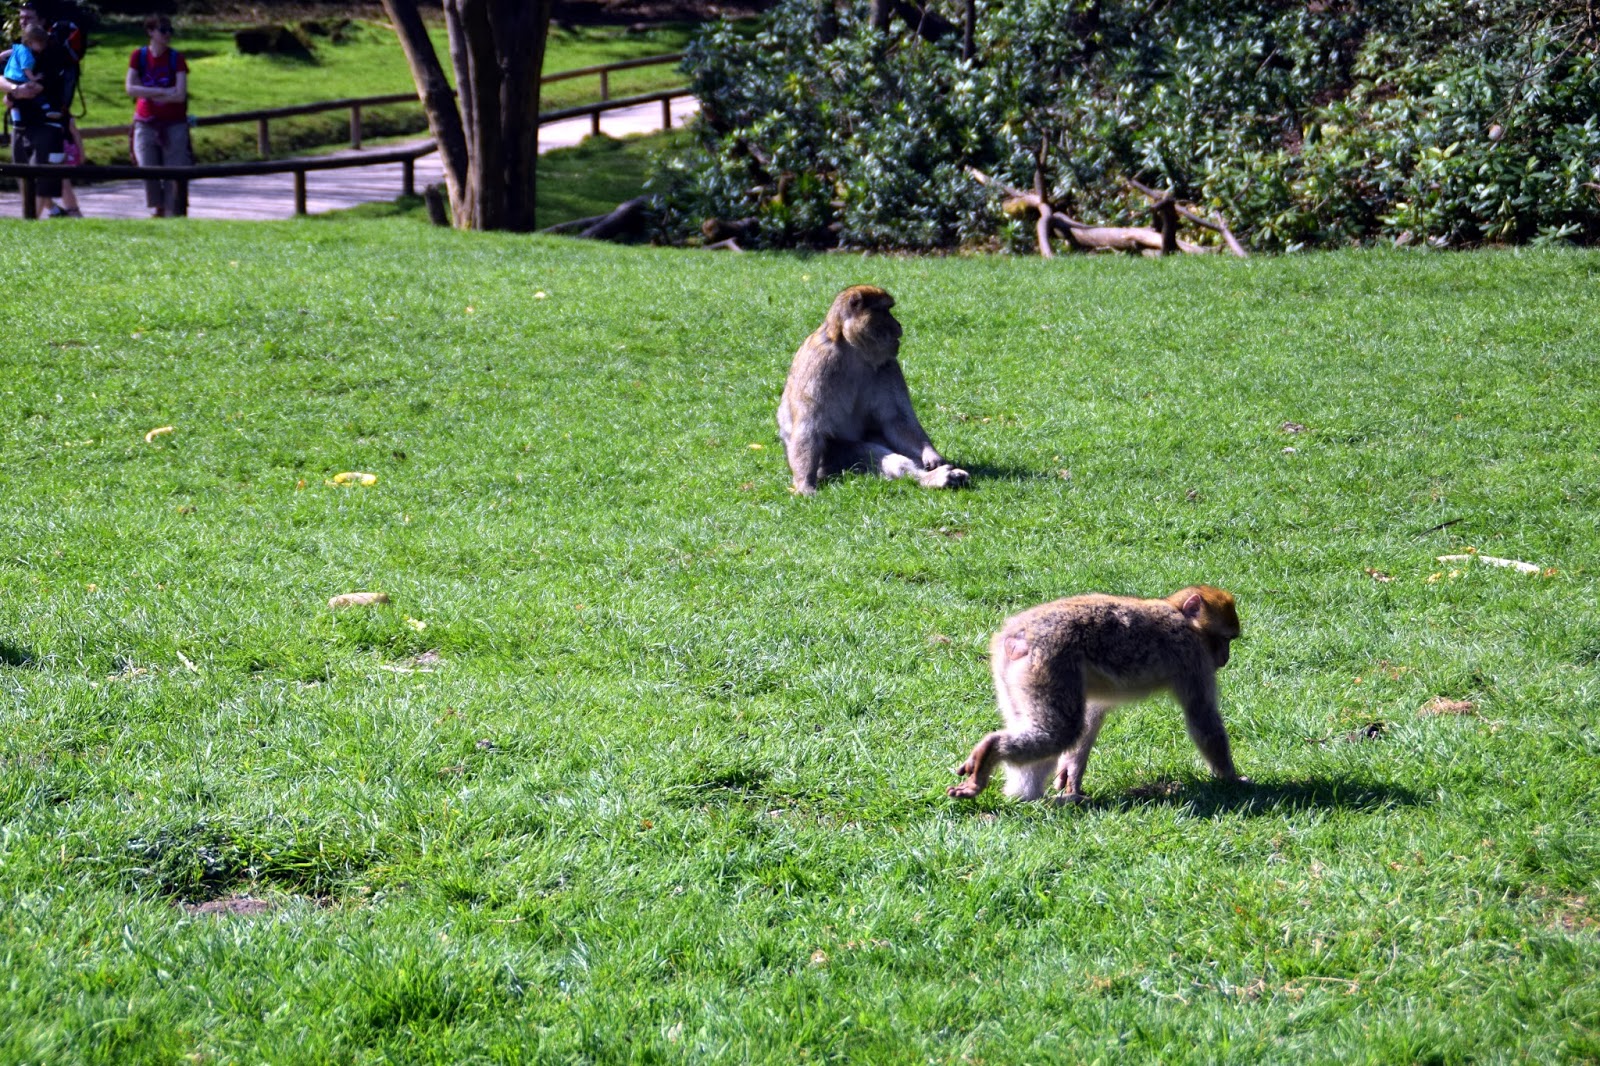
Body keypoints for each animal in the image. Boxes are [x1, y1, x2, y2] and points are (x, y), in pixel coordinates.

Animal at [777, 285, 968, 495]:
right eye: (884, 311)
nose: (898, 324)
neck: (854, 351)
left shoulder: (889, 367)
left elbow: (896, 418)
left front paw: (930, 453)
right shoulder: (819, 363)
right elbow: (809, 426)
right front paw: (805, 484)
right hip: (830, 459)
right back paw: (932, 479)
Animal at [947, 585, 1246, 803]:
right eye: (1225, 639)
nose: (1226, 657)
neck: (1179, 614)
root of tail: (1017, 635)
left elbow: (1094, 711)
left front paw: (1071, 770)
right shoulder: (1193, 657)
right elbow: (1202, 717)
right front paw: (1231, 778)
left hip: (1011, 676)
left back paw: (1027, 797)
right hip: (1049, 663)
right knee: (1060, 731)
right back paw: (992, 751)